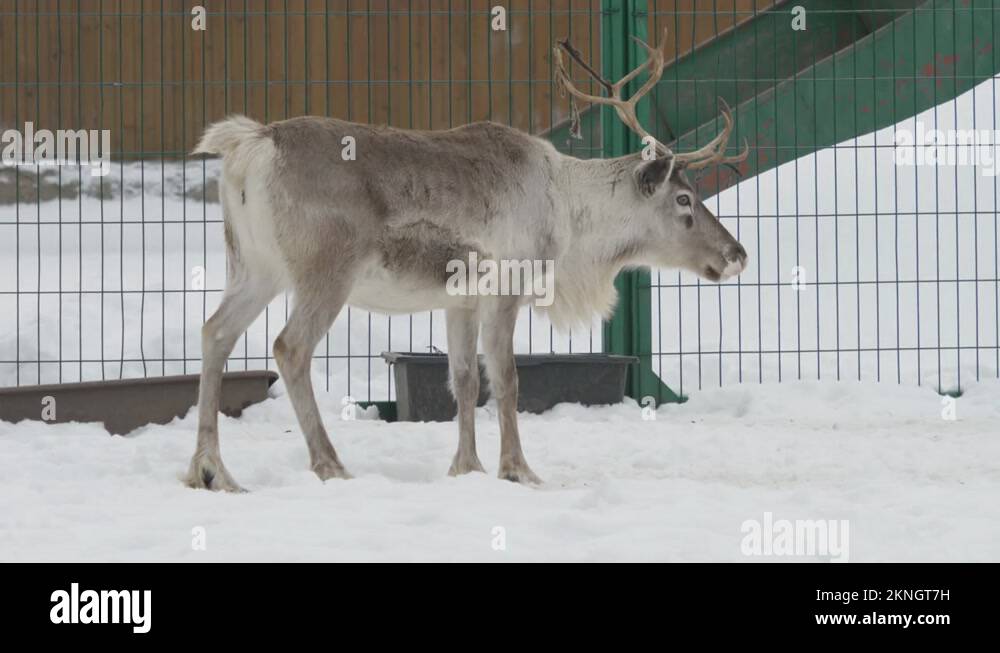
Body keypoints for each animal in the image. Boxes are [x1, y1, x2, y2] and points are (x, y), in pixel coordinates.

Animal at [186, 31, 749, 491]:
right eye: (684, 200)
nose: (737, 254)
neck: (570, 215)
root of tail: (252, 145)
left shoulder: (459, 299)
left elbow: (464, 379)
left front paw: (467, 467)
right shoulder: (508, 283)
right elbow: (506, 378)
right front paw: (518, 469)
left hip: (254, 267)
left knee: (214, 331)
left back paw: (210, 470)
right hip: (326, 270)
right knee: (289, 347)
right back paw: (330, 465)